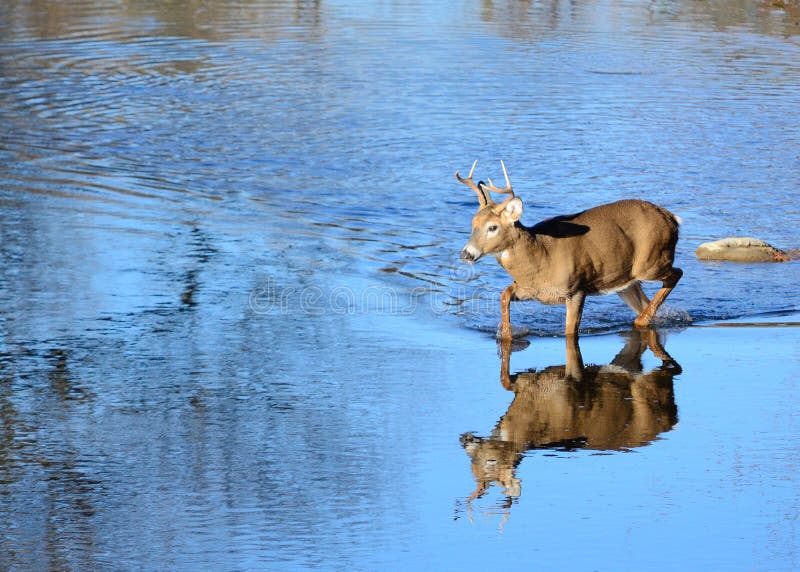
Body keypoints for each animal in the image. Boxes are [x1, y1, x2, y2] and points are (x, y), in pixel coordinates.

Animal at [455, 160, 682, 338]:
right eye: (473, 223)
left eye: (493, 227)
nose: (466, 253)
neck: (540, 258)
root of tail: (671, 218)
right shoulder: (530, 288)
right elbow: (504, 295)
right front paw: (507, 334)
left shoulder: (576, 289)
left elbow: (569, 331)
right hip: (625, 280)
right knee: (644, 299)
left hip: (652, 261)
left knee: (676, 273)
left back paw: (641, 321)